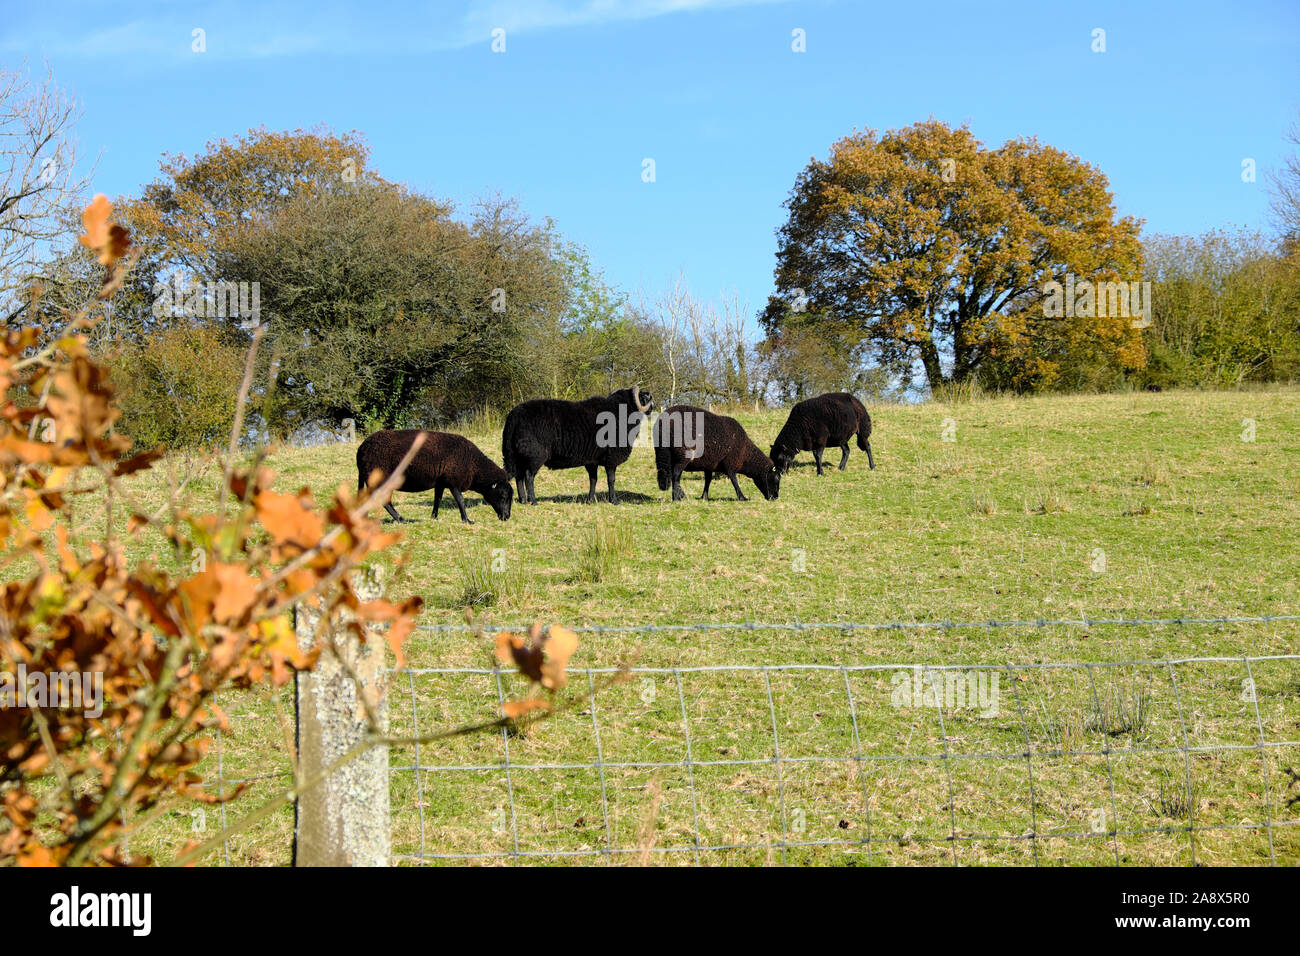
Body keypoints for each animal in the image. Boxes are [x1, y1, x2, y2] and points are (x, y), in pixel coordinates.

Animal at [356, 429, 512, 523]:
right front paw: (467, 520)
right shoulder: (453, 481)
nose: (507, 517)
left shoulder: (441, 482)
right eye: (503, 496)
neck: (474, 465)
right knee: (385, 501)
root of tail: (361, 448)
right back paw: (401, 519)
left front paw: (434, 516)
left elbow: (437, 499)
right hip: (381, 479)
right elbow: (460, 500)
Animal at [502, 386, 654, 505]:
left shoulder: (591, 461)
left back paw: (522, 500)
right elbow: (611, 480)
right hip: (535, 455)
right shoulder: (611, 458)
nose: (653, 405)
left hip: (518, 455)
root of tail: (514, 416)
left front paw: (590, 500)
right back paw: (533, 501)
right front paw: (614, 501)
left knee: (519, 476)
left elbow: (593, 479)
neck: (622, 411)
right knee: (528, 477)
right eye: (645, 396)